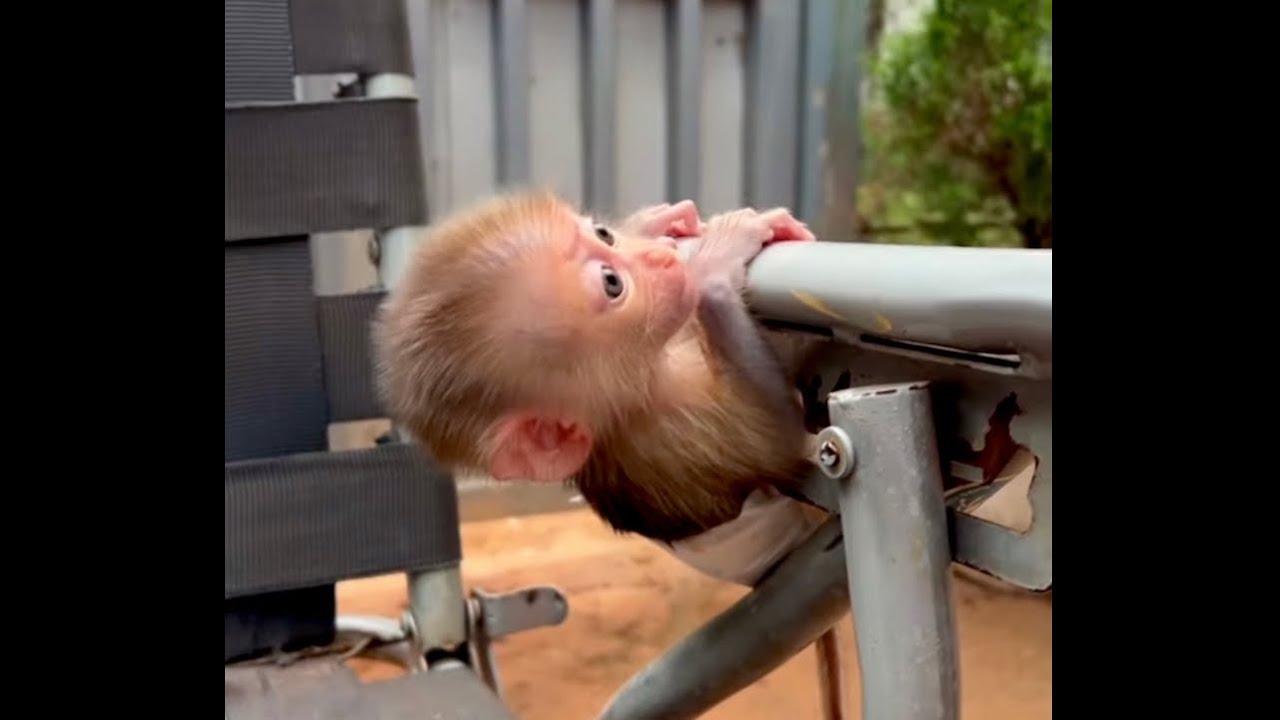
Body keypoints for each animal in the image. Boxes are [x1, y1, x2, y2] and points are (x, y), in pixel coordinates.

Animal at [373, 190, 847, 718]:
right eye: (613, 284)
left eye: (604, 235)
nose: (662, 259)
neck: (644, 370)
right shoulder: (662, 425)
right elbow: (781, 440)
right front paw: (714, 269)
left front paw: (659, 222)